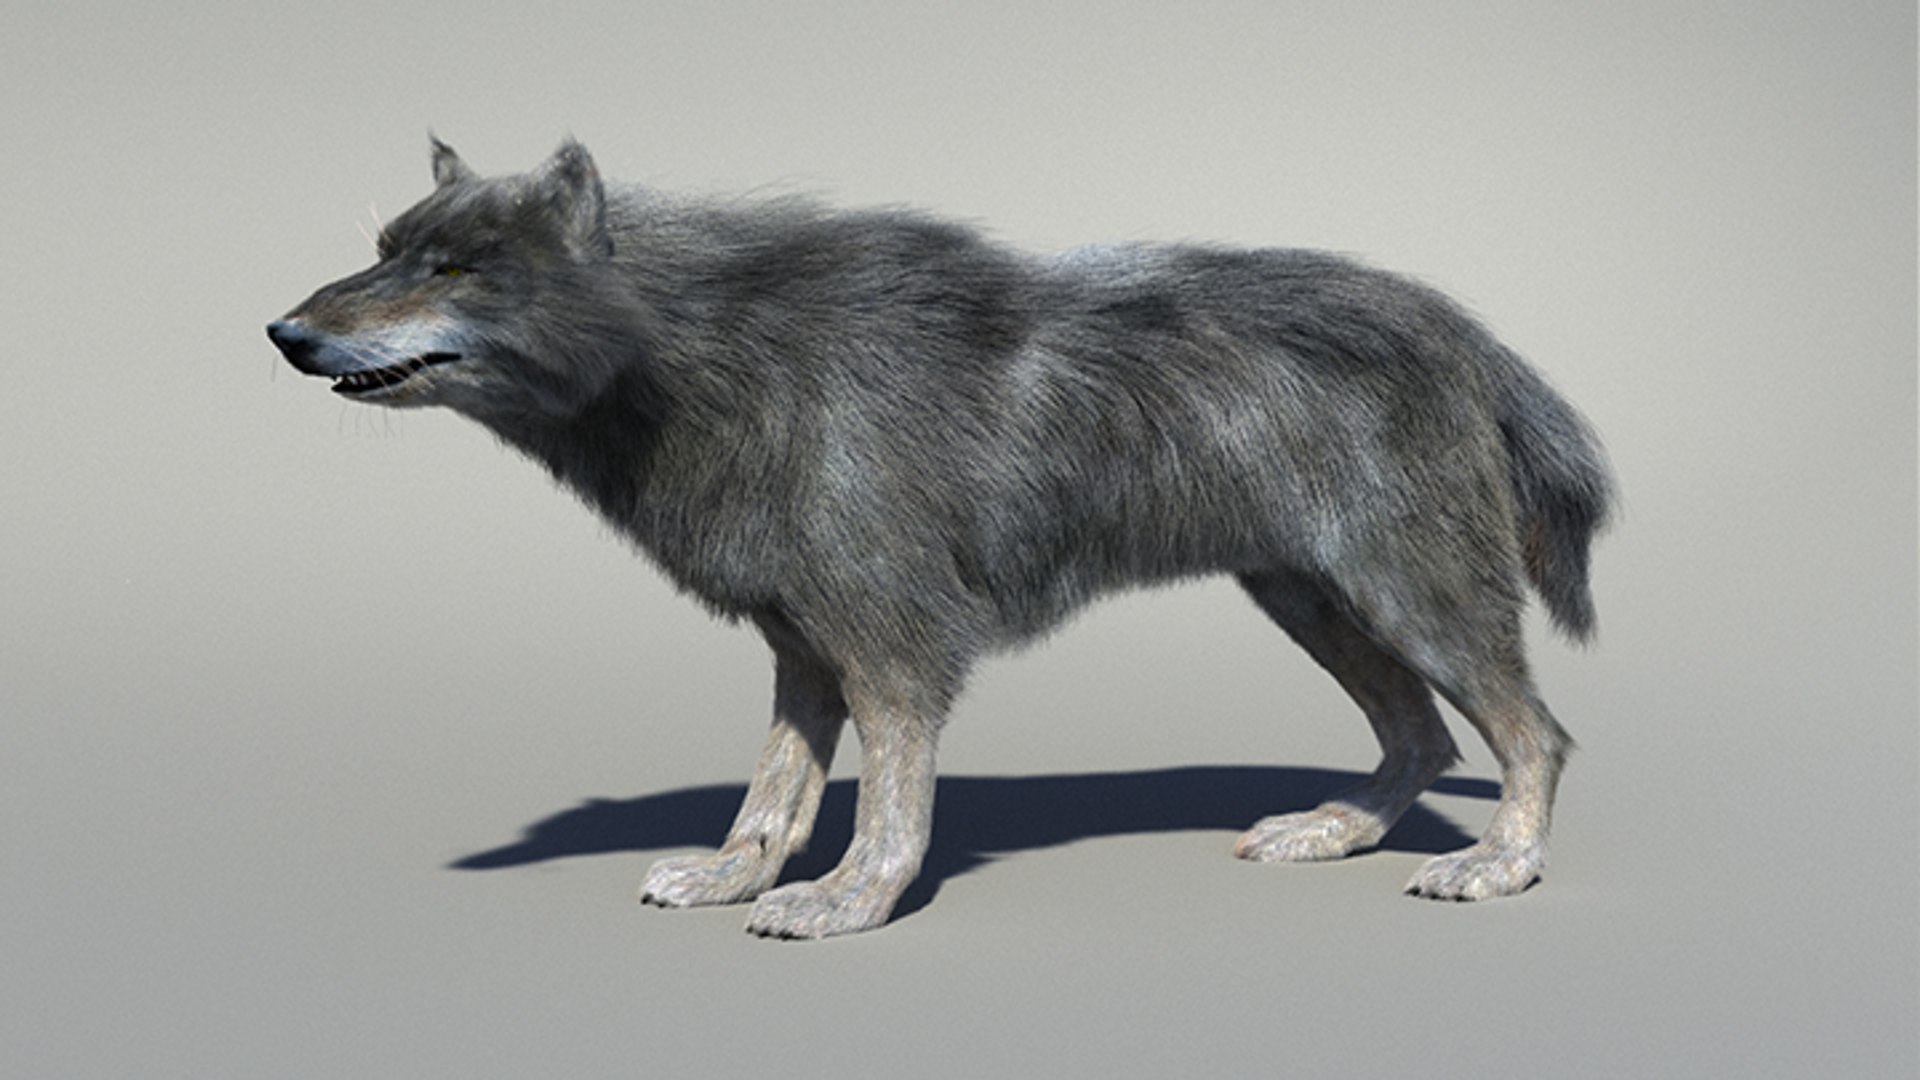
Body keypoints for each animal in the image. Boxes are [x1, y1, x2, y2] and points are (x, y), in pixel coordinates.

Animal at [268, 139, 1611, 939]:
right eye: (384, 248)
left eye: (456, 267)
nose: (282, 332)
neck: (702, 362)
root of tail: (1464, 328)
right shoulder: (804, 649)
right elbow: (773, 793)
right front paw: (737, 877)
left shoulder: (892, 646)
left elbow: (887, 800)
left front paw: (848, 900)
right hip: (1316, 599)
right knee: (1424, 737)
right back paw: (1336, 831)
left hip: (1410, 595)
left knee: (1534, 735)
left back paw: (1499, 866)